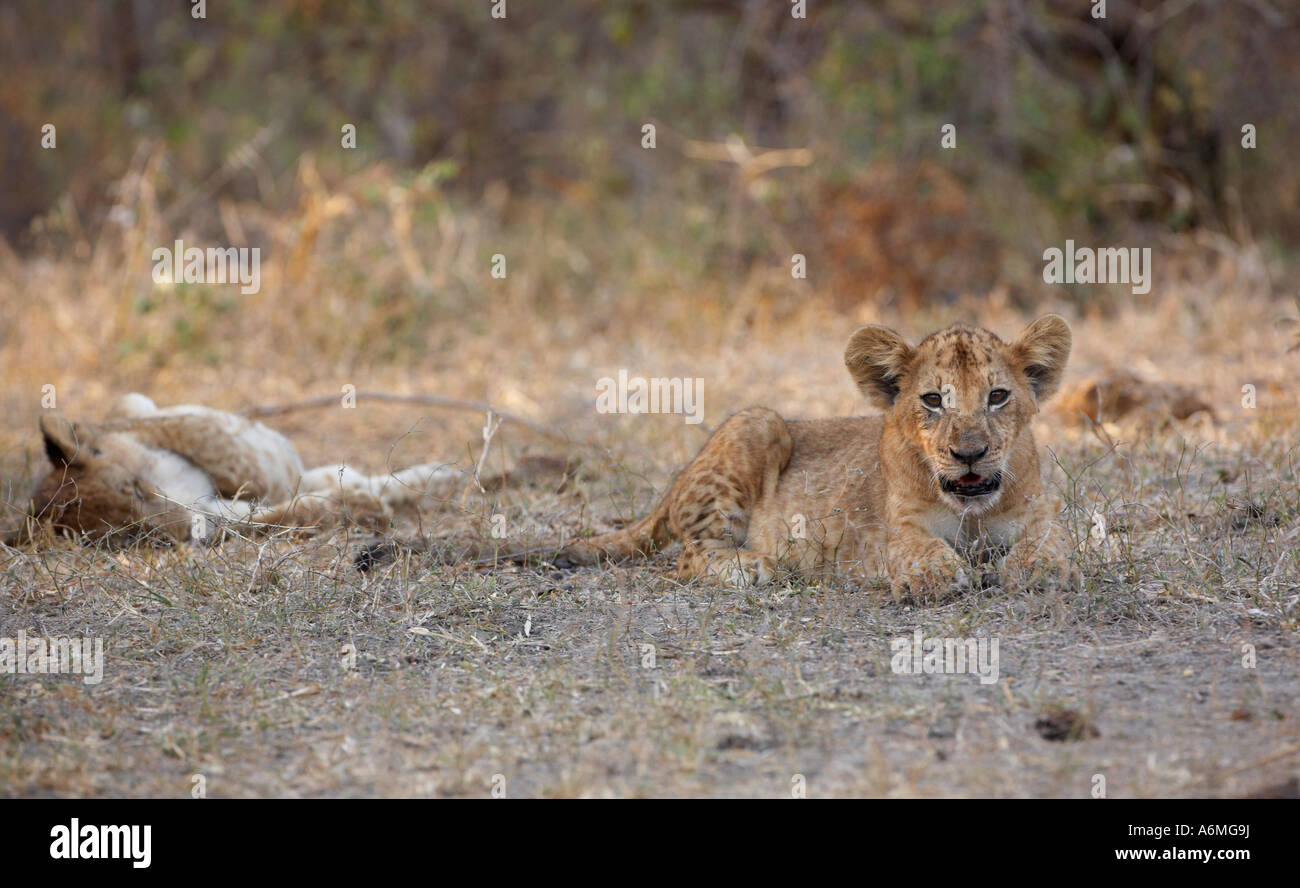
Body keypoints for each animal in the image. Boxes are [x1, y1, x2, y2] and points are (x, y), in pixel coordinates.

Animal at [540, 315, 1078, 600]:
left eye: (997, 396)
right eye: (932, 400)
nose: (969, 454)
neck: (972, 511)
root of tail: (674, 483)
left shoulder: (1040, 515)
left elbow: (1049, 543)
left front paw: (1036, 569)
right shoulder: (897, 531)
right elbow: (921, 550)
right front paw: (935, 576)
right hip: (760, 421)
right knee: (689, 557)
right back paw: (754, 566)